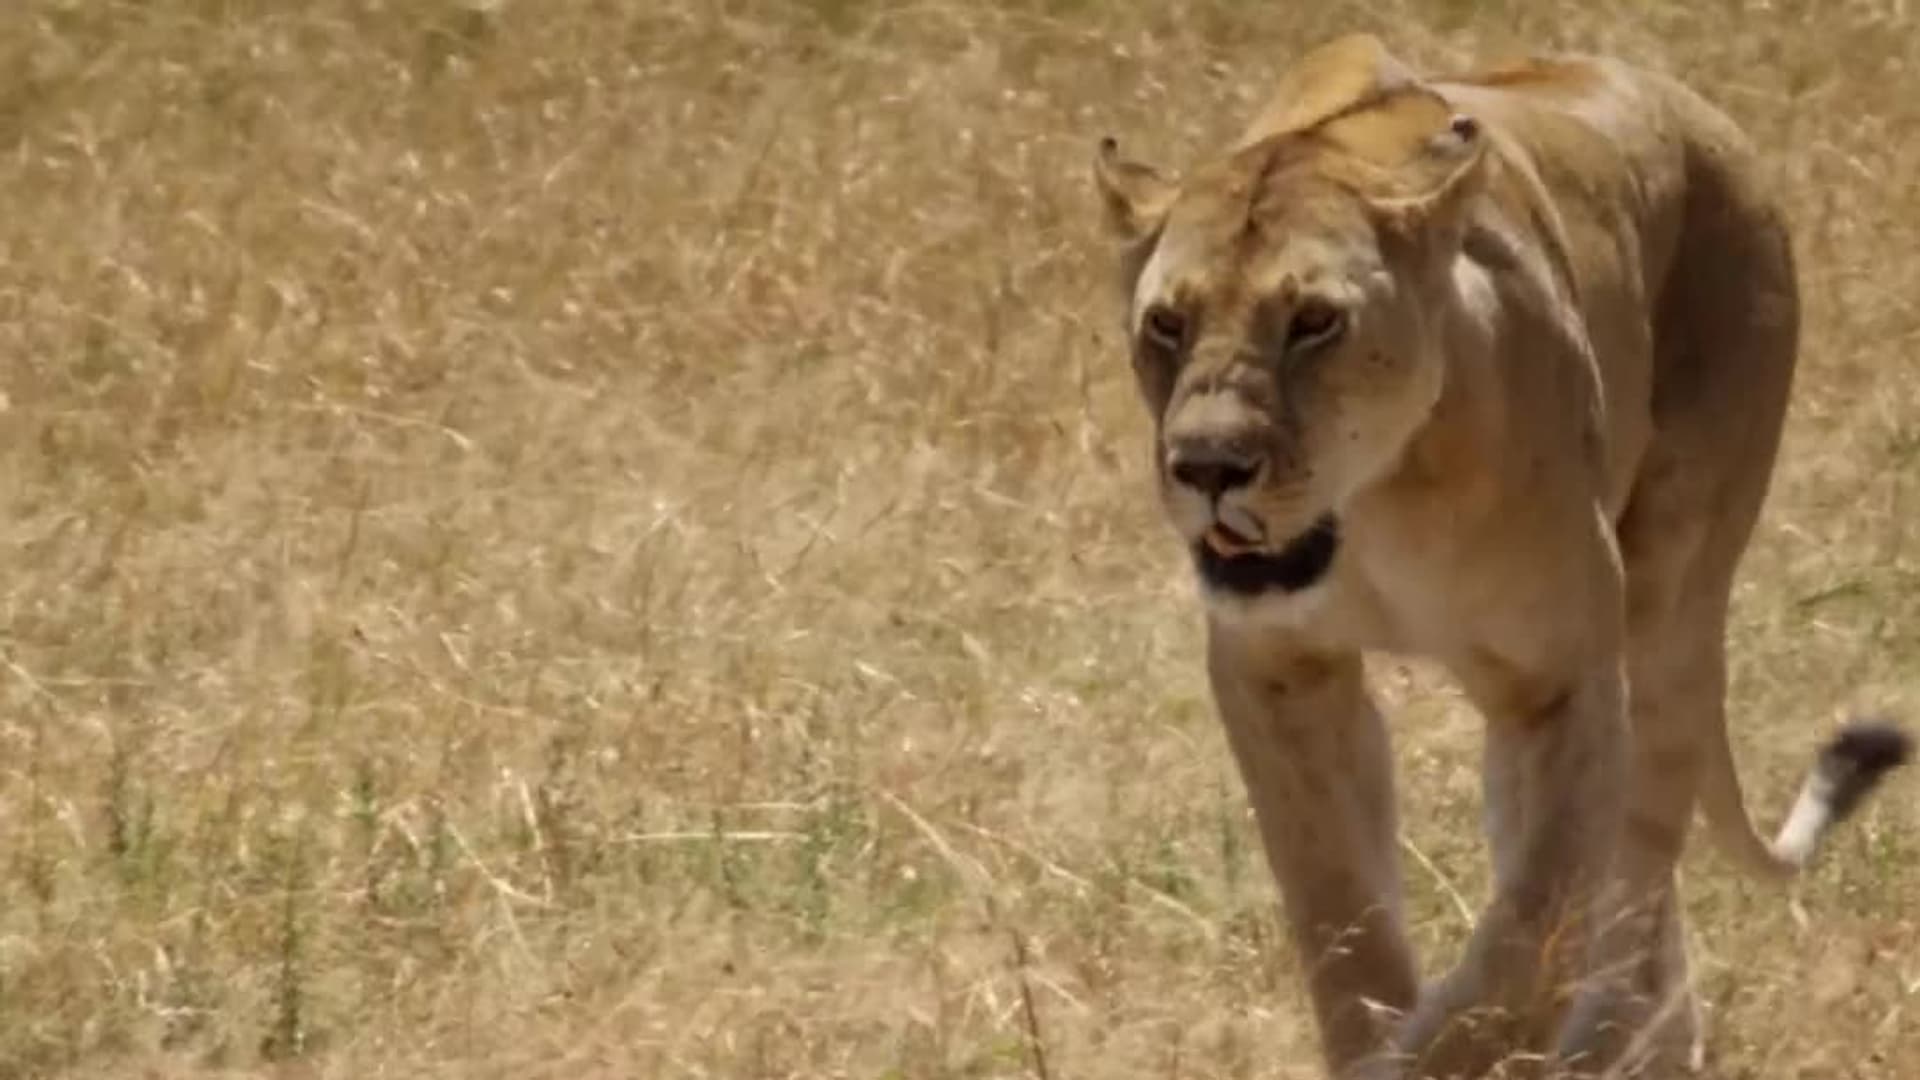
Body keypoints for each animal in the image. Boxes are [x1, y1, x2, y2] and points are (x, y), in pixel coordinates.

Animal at [1091, 33, 1911, 1079]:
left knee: (1638, 870)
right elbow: (1341, 919)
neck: (1375, 503)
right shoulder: (1278, 670)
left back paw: (1610, 1044)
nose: (1206, 468)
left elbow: (1531, 931)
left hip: (1670, 602)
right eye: (1166, 324)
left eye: (1315, 322)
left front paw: (1455, 1051)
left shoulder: (1563, 679)